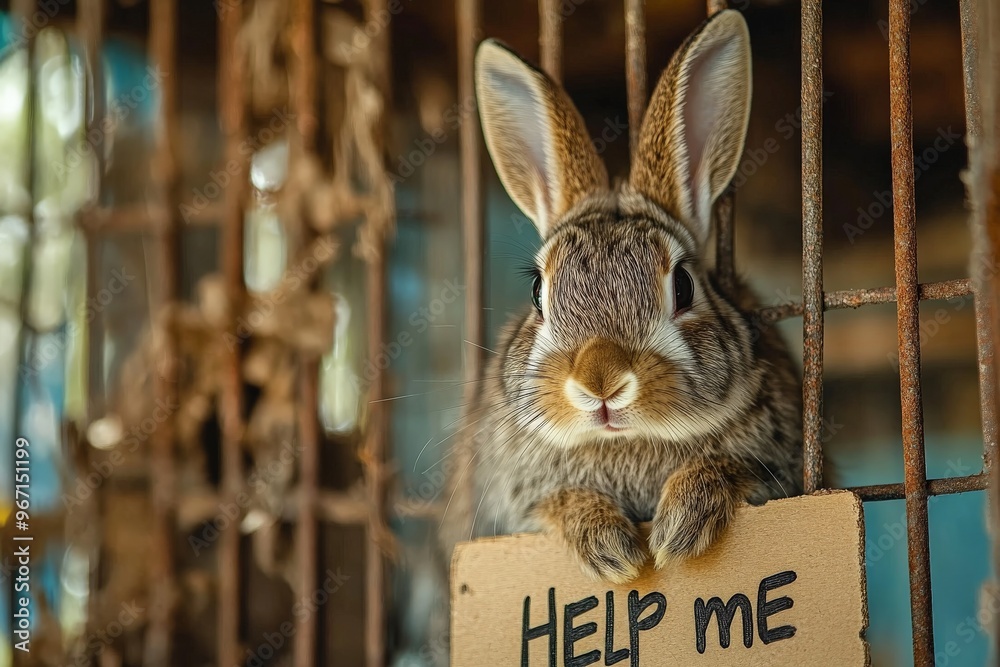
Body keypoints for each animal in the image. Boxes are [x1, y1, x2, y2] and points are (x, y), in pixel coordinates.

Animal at [441, 9, 803, 585]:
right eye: (537, 291)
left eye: (683, 284)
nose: (601, 382)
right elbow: (554, 503)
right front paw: (612, 549)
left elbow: (733, 468)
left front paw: (679, 528)